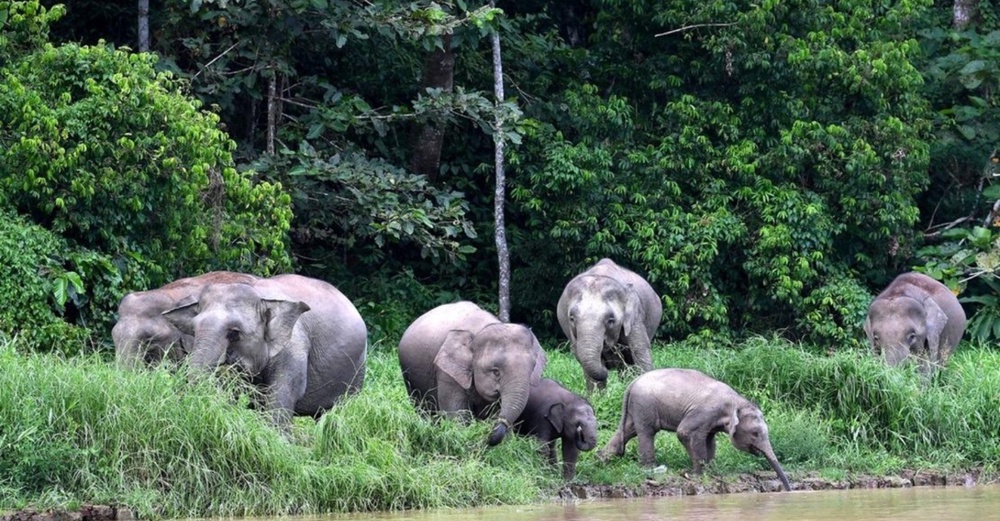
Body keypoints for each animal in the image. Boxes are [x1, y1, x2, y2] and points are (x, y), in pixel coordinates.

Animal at [163, 273, 367, 428]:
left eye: (234, 333)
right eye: (193, 329)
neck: (259, 294)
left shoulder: (293, 348)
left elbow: (280, 399)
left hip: (356, 371)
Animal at [397, 301, 547, 446]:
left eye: (532, 369)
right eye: (496, 372)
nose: (488, 434)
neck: (481, 329)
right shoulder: (447, 372)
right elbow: (457, 414)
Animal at [598, 368, 791, 492]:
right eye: (755, 434)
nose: (789, 489)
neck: (736, 401)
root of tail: (632, 382)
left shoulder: (712, 420)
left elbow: (710, 439)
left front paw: (711, 469)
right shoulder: (705, 412)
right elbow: (684, 432)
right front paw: (699, 473)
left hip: (637, 407)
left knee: (629, 430)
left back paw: (602, 459)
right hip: (645, 405)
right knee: (646, 432)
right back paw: (649, 469)